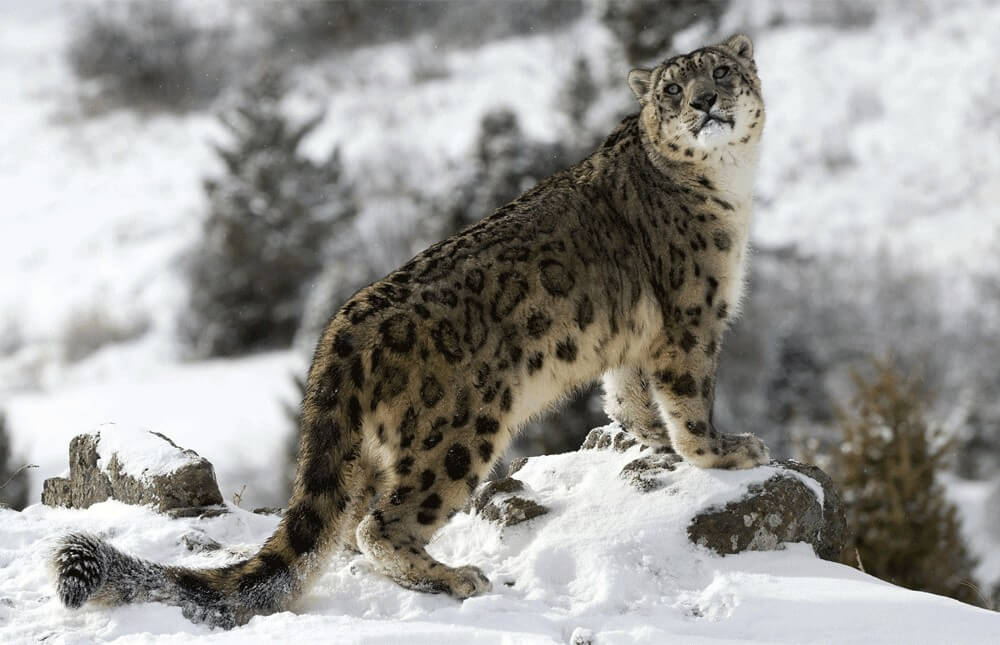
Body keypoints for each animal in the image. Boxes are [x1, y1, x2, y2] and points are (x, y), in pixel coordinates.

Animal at [52, 33, 769, 628]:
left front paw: (650, 441)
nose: (705, 102)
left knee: (345, 527)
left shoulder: (635, 341)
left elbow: (629, 395)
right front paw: (724, 452)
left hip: (374, 453)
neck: (729, 186)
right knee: (380, 525)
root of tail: (342, 328)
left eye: (721, 72)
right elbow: (688, 398)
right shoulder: (691, 320)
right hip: (458, 431)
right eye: (673, 90)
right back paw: (456, 578)